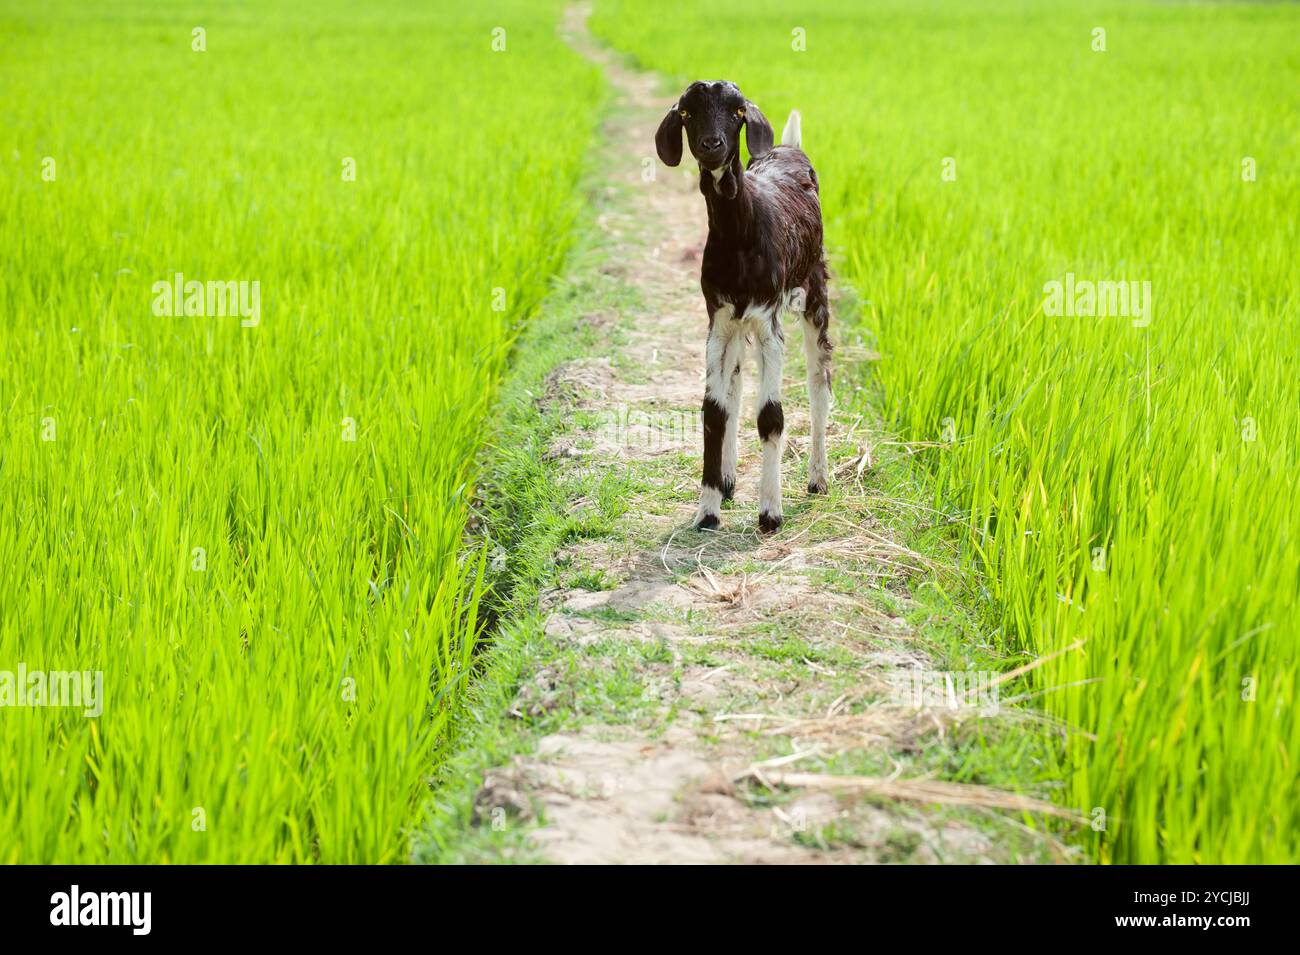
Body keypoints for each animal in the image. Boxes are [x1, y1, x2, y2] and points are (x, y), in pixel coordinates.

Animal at [655, 80, 832, 533]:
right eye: (687, 113)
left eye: (737, 112)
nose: (711, 145)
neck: (741, 231)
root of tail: (789, 147)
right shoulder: (717, 324)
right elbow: (714, 412)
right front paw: (707, 510)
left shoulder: (769, 323)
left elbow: (771, 415)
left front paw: (770, 512)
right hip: (736, 329)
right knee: (734, 391)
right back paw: (729, 481)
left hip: (814, 295)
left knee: (819, 383)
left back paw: (818, 479)